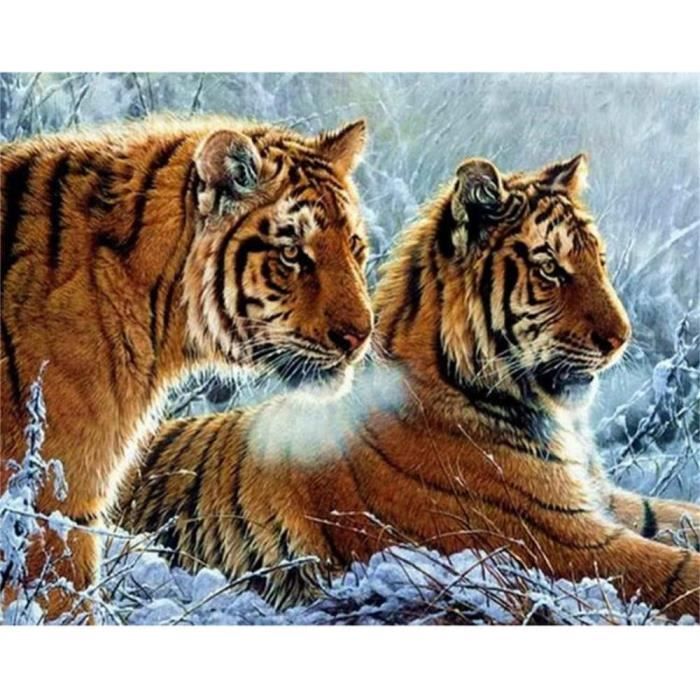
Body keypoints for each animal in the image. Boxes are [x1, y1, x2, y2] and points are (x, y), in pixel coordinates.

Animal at [121, 153, 700, 619]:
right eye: (549, 268)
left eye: (597, 261)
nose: (621, 338)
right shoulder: (559, 540)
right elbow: (676, 572)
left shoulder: (601, 500)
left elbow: (675, 515)